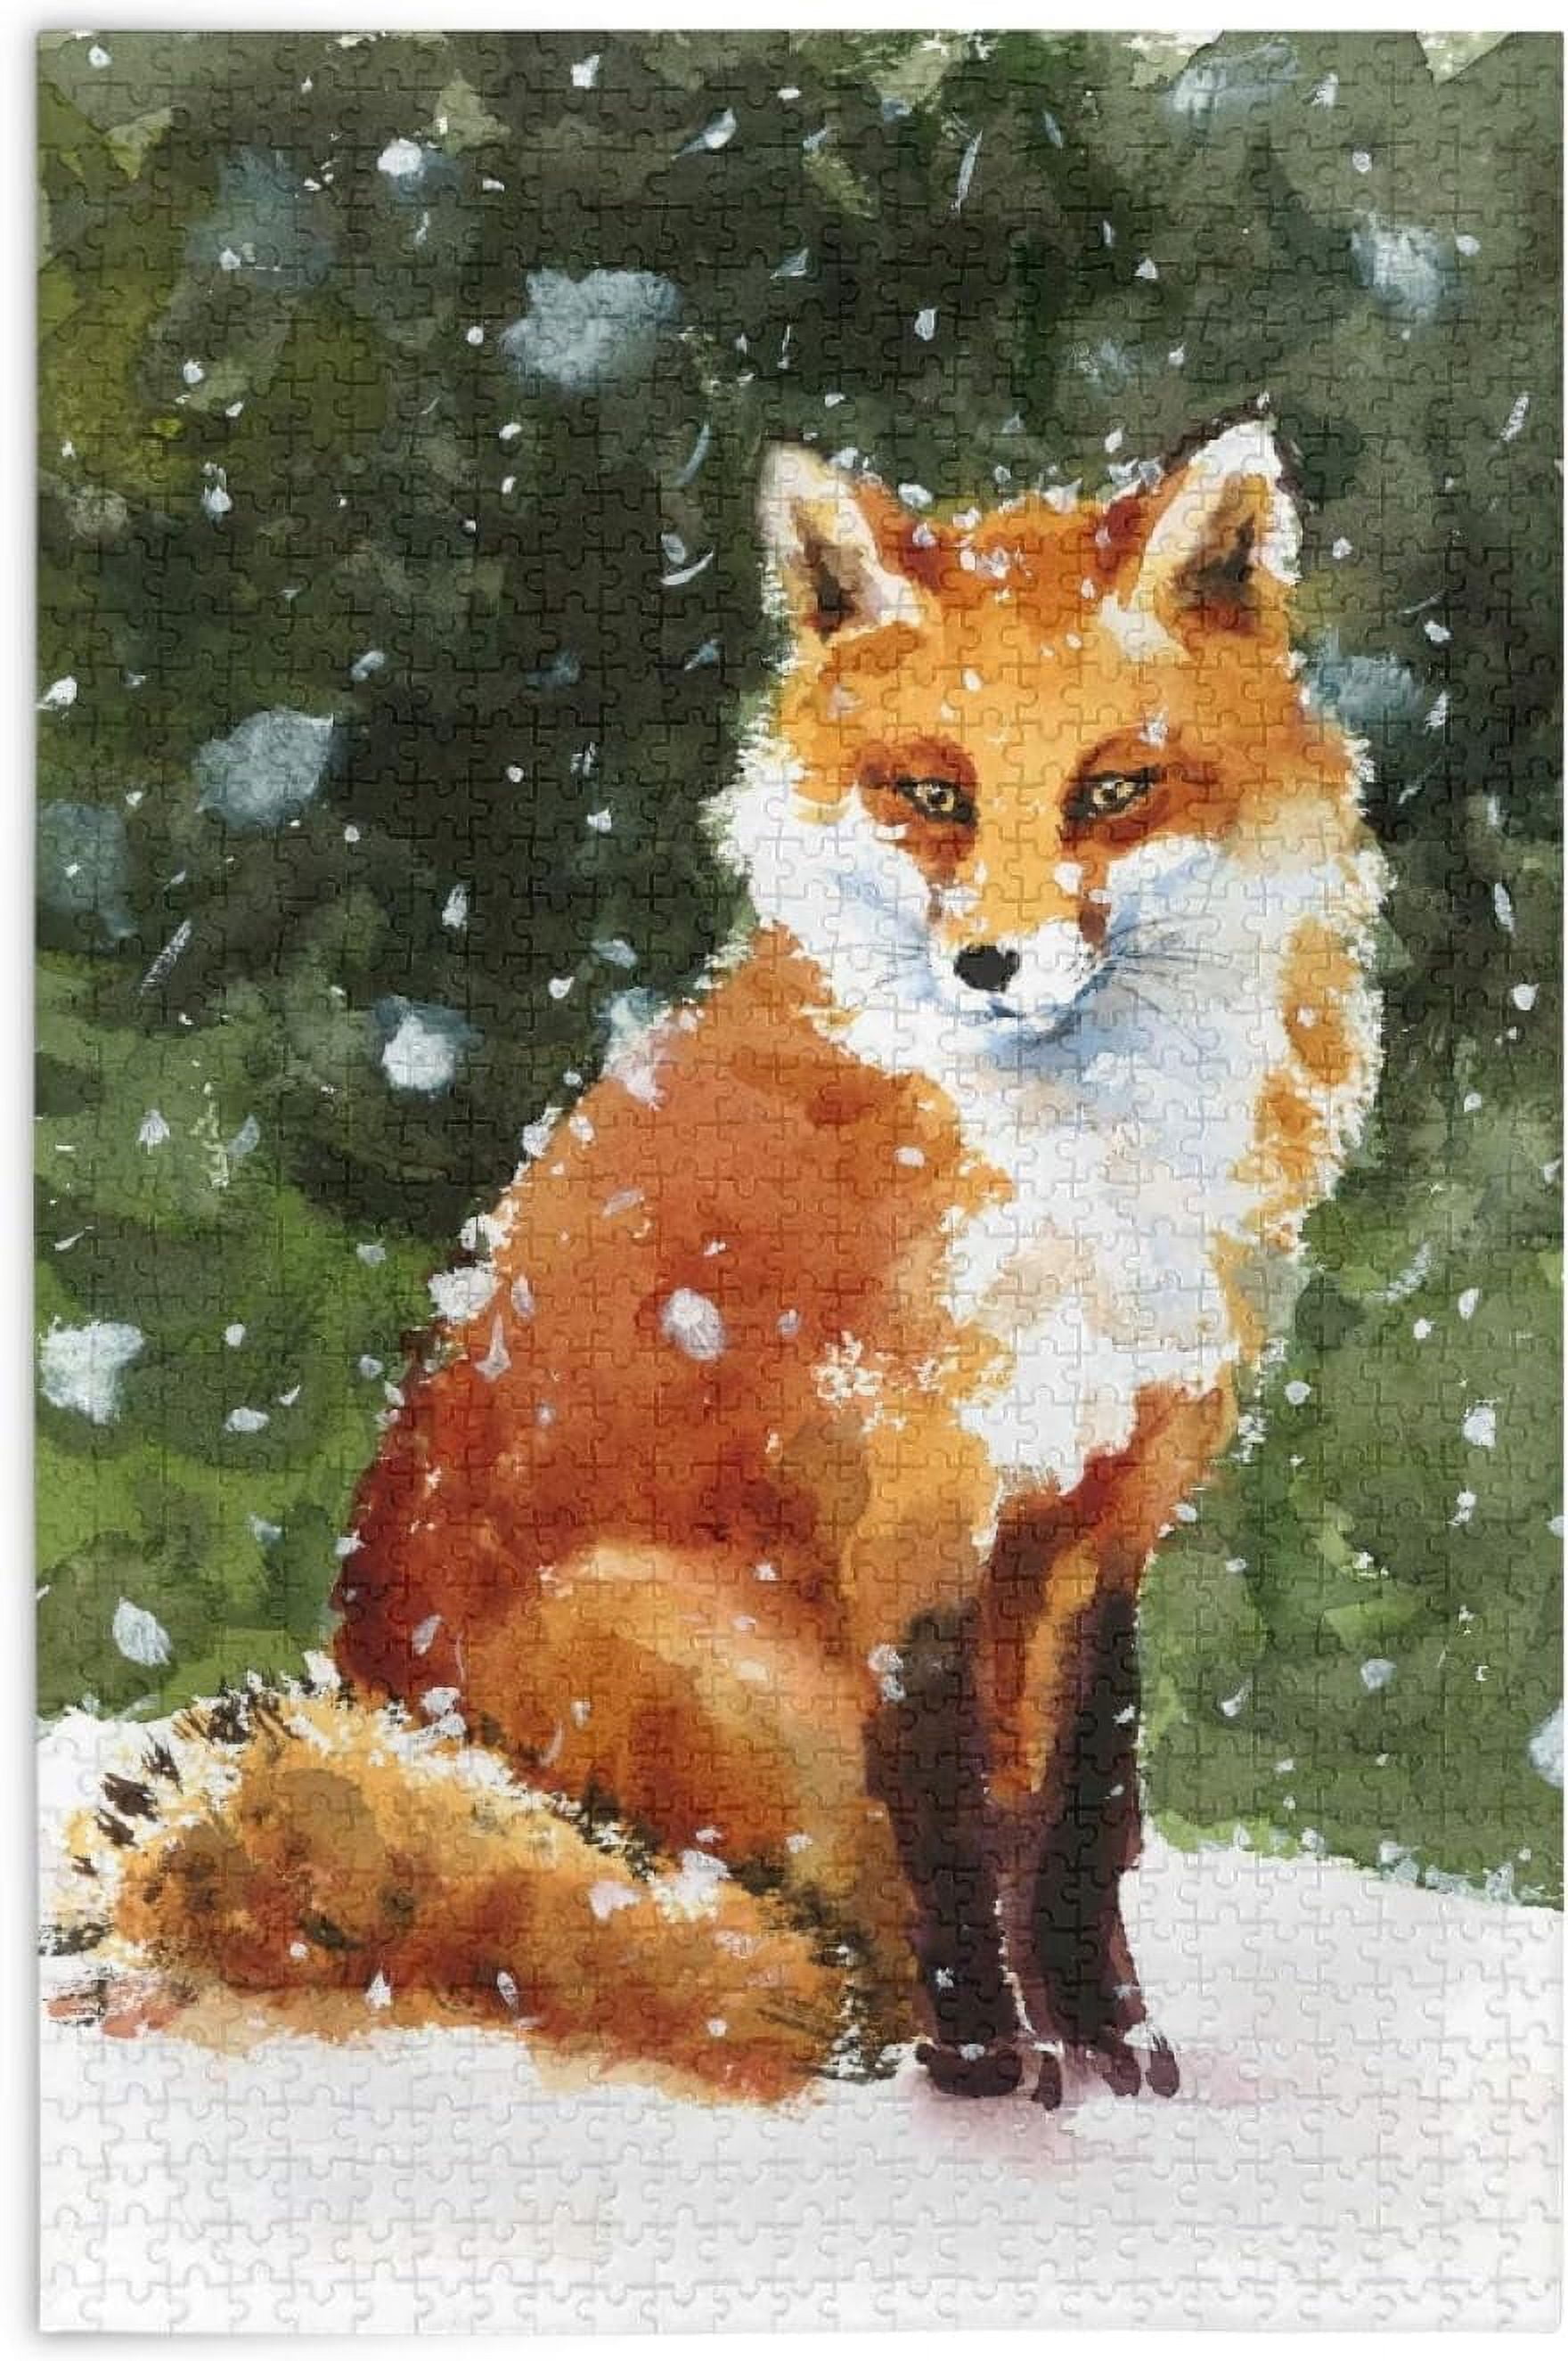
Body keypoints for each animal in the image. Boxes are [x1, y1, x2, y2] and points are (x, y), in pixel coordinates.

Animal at [62, 420, 1384, 2110]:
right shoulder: (910, 1502)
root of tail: (384, 1702)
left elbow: (1085, 1810)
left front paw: (1109, 2043)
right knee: (790, 1931)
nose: (992, 965)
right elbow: (951, 1815)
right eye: (933, 792)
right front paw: (988, 2061)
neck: (1071, 1162)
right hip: (709, 1651)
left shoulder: (1109, 1498)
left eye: (1114, 789)